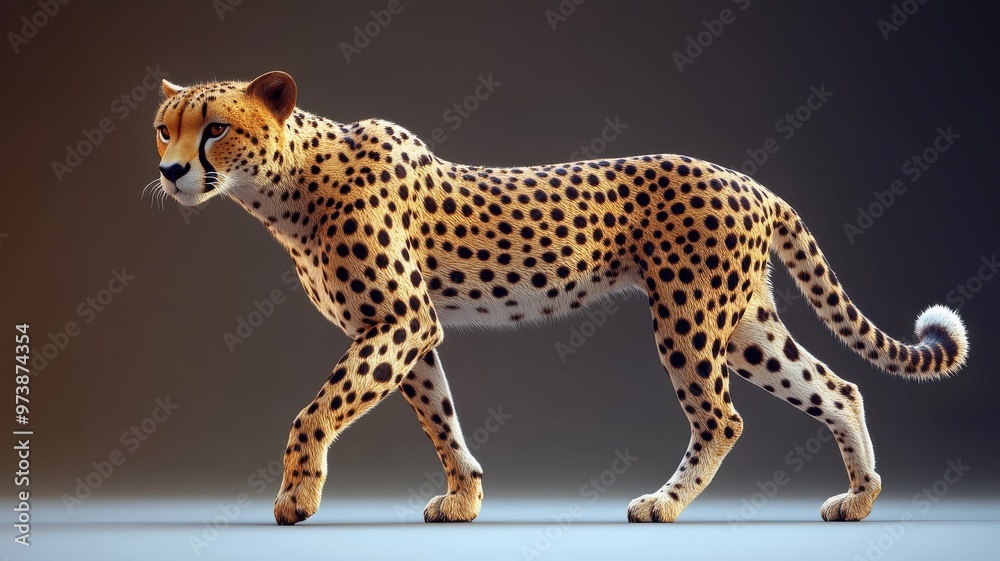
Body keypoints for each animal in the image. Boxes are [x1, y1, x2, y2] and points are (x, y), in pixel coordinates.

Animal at [151, 71, 968, 525]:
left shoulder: (400, 318)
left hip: (688, 319)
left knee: (723, 416)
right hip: (747, 327)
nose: (169, 170)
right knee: (839, 387)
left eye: (215, 129)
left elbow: (314, 410)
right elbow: (440, 417)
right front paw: (466, 497)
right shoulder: (412, 332)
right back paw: (859, 499)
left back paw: (663, 504)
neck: (281, 187)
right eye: (164, 129)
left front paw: (298, 496)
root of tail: (752, 182)